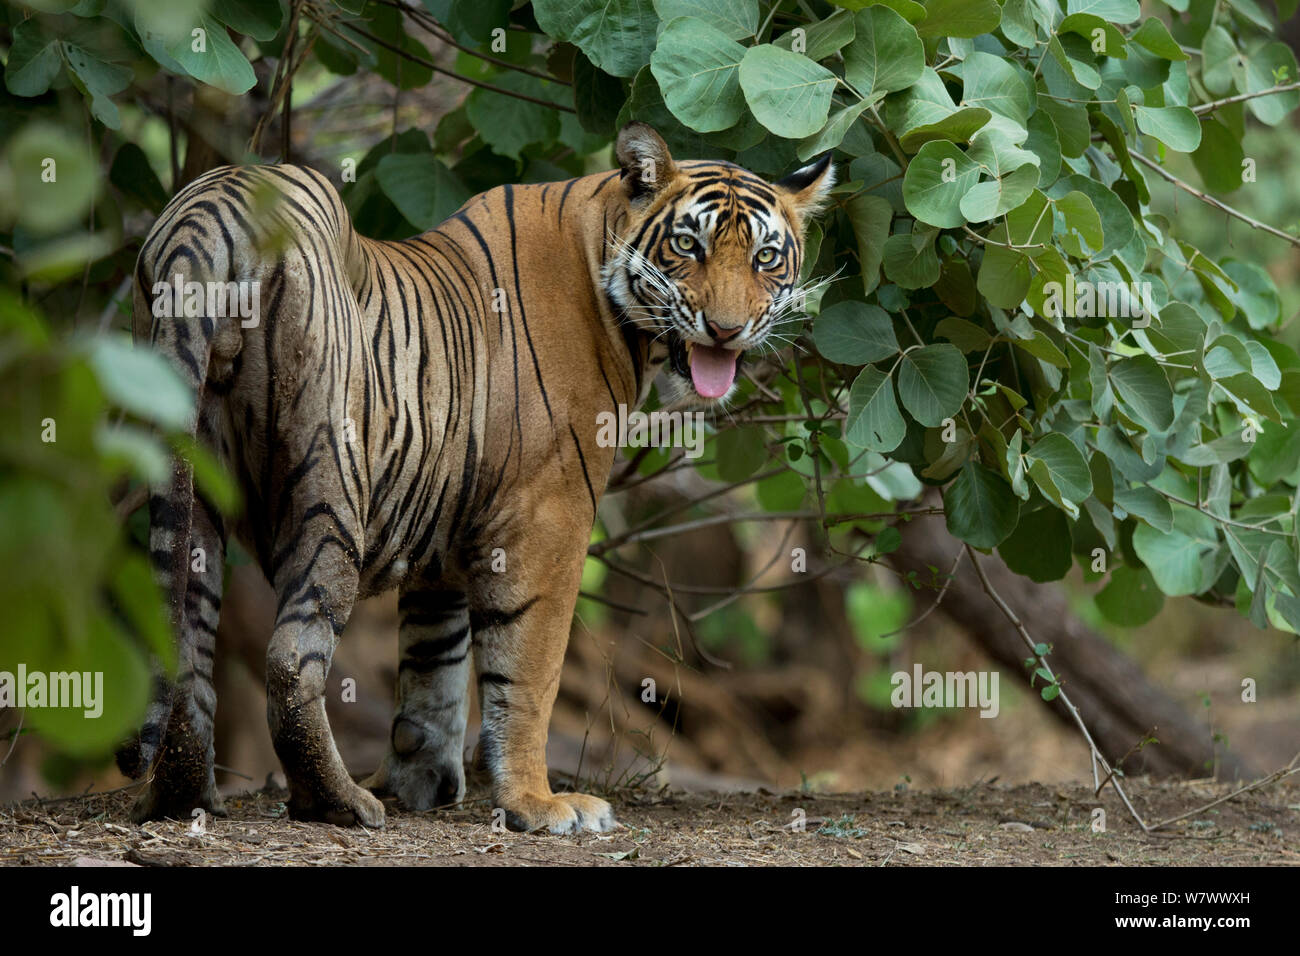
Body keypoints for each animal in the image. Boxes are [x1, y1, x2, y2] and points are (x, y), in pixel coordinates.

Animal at [119, 122, 834, 833]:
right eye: (689, 245)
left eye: (766, 258)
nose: (727, 330)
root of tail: (214, 204)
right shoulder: (550, 517)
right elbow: (529, 669)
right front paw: (537, 805)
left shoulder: (446, 527)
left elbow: (434, 662)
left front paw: (419, 782)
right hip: (327, 478)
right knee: (292, 656)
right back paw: (338, 802)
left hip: (187, 477)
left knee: (185, 647)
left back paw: (183, 795)